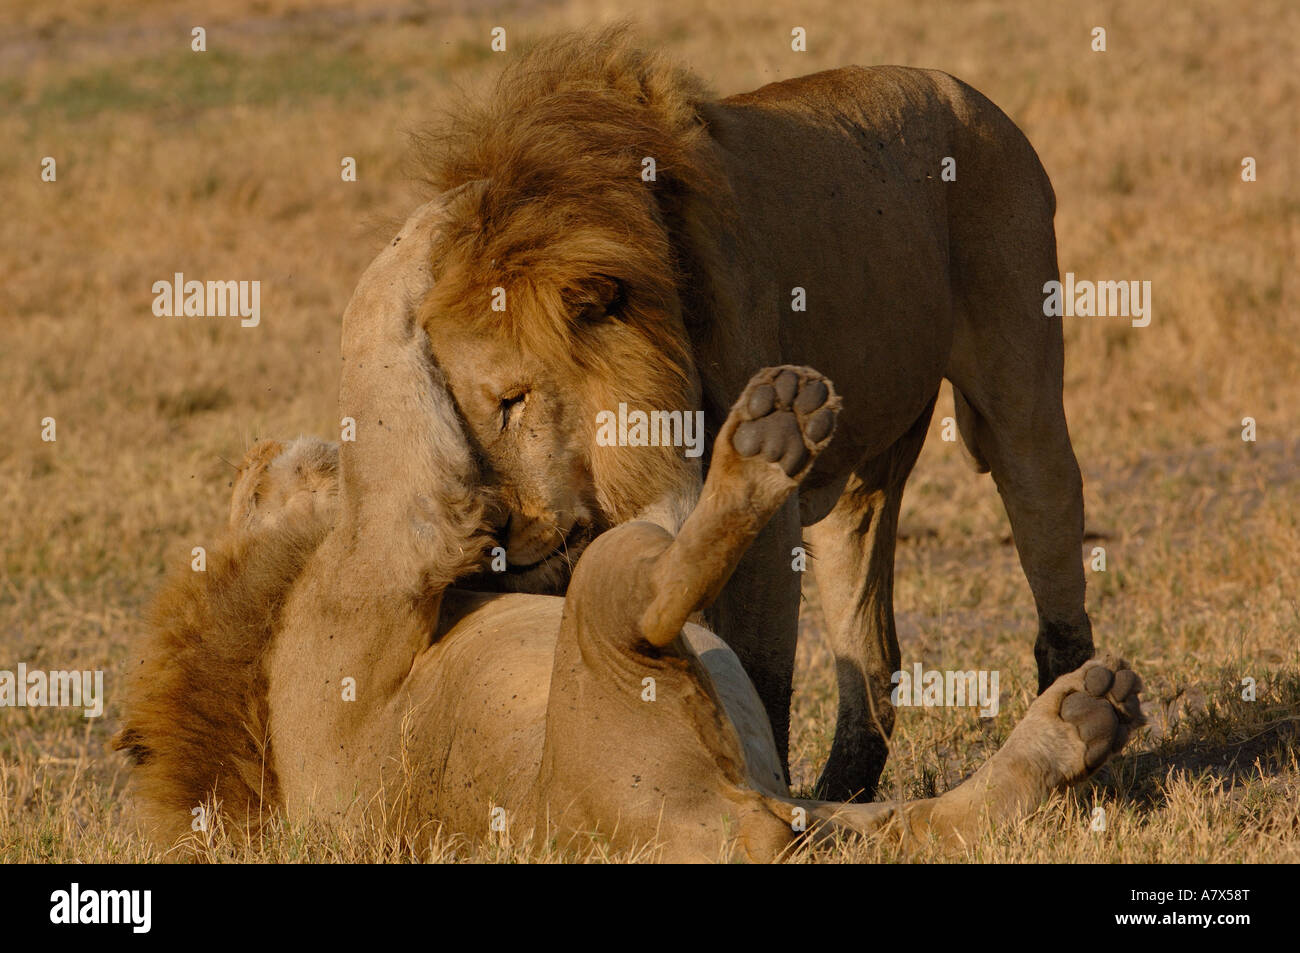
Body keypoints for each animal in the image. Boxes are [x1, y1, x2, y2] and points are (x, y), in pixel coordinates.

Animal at [114, 200, 1142, 862]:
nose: (268, 448)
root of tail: (707, 832)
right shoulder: (400, 543)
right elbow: (364, 331)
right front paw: (427, 227)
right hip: (627, 648)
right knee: (648, 598)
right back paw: (766, 442)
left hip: (819, 823)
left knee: (927, 822)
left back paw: (1080, 719)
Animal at [408, 27, 1096, 800]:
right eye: (448, 413)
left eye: (511, 401)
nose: (489, 534)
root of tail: (967, 92)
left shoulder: (766, 522)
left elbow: (758, 674)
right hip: (859, 481)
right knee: (871, 649)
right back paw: (843, 791)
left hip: (1021, 398)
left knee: (1050, 546)